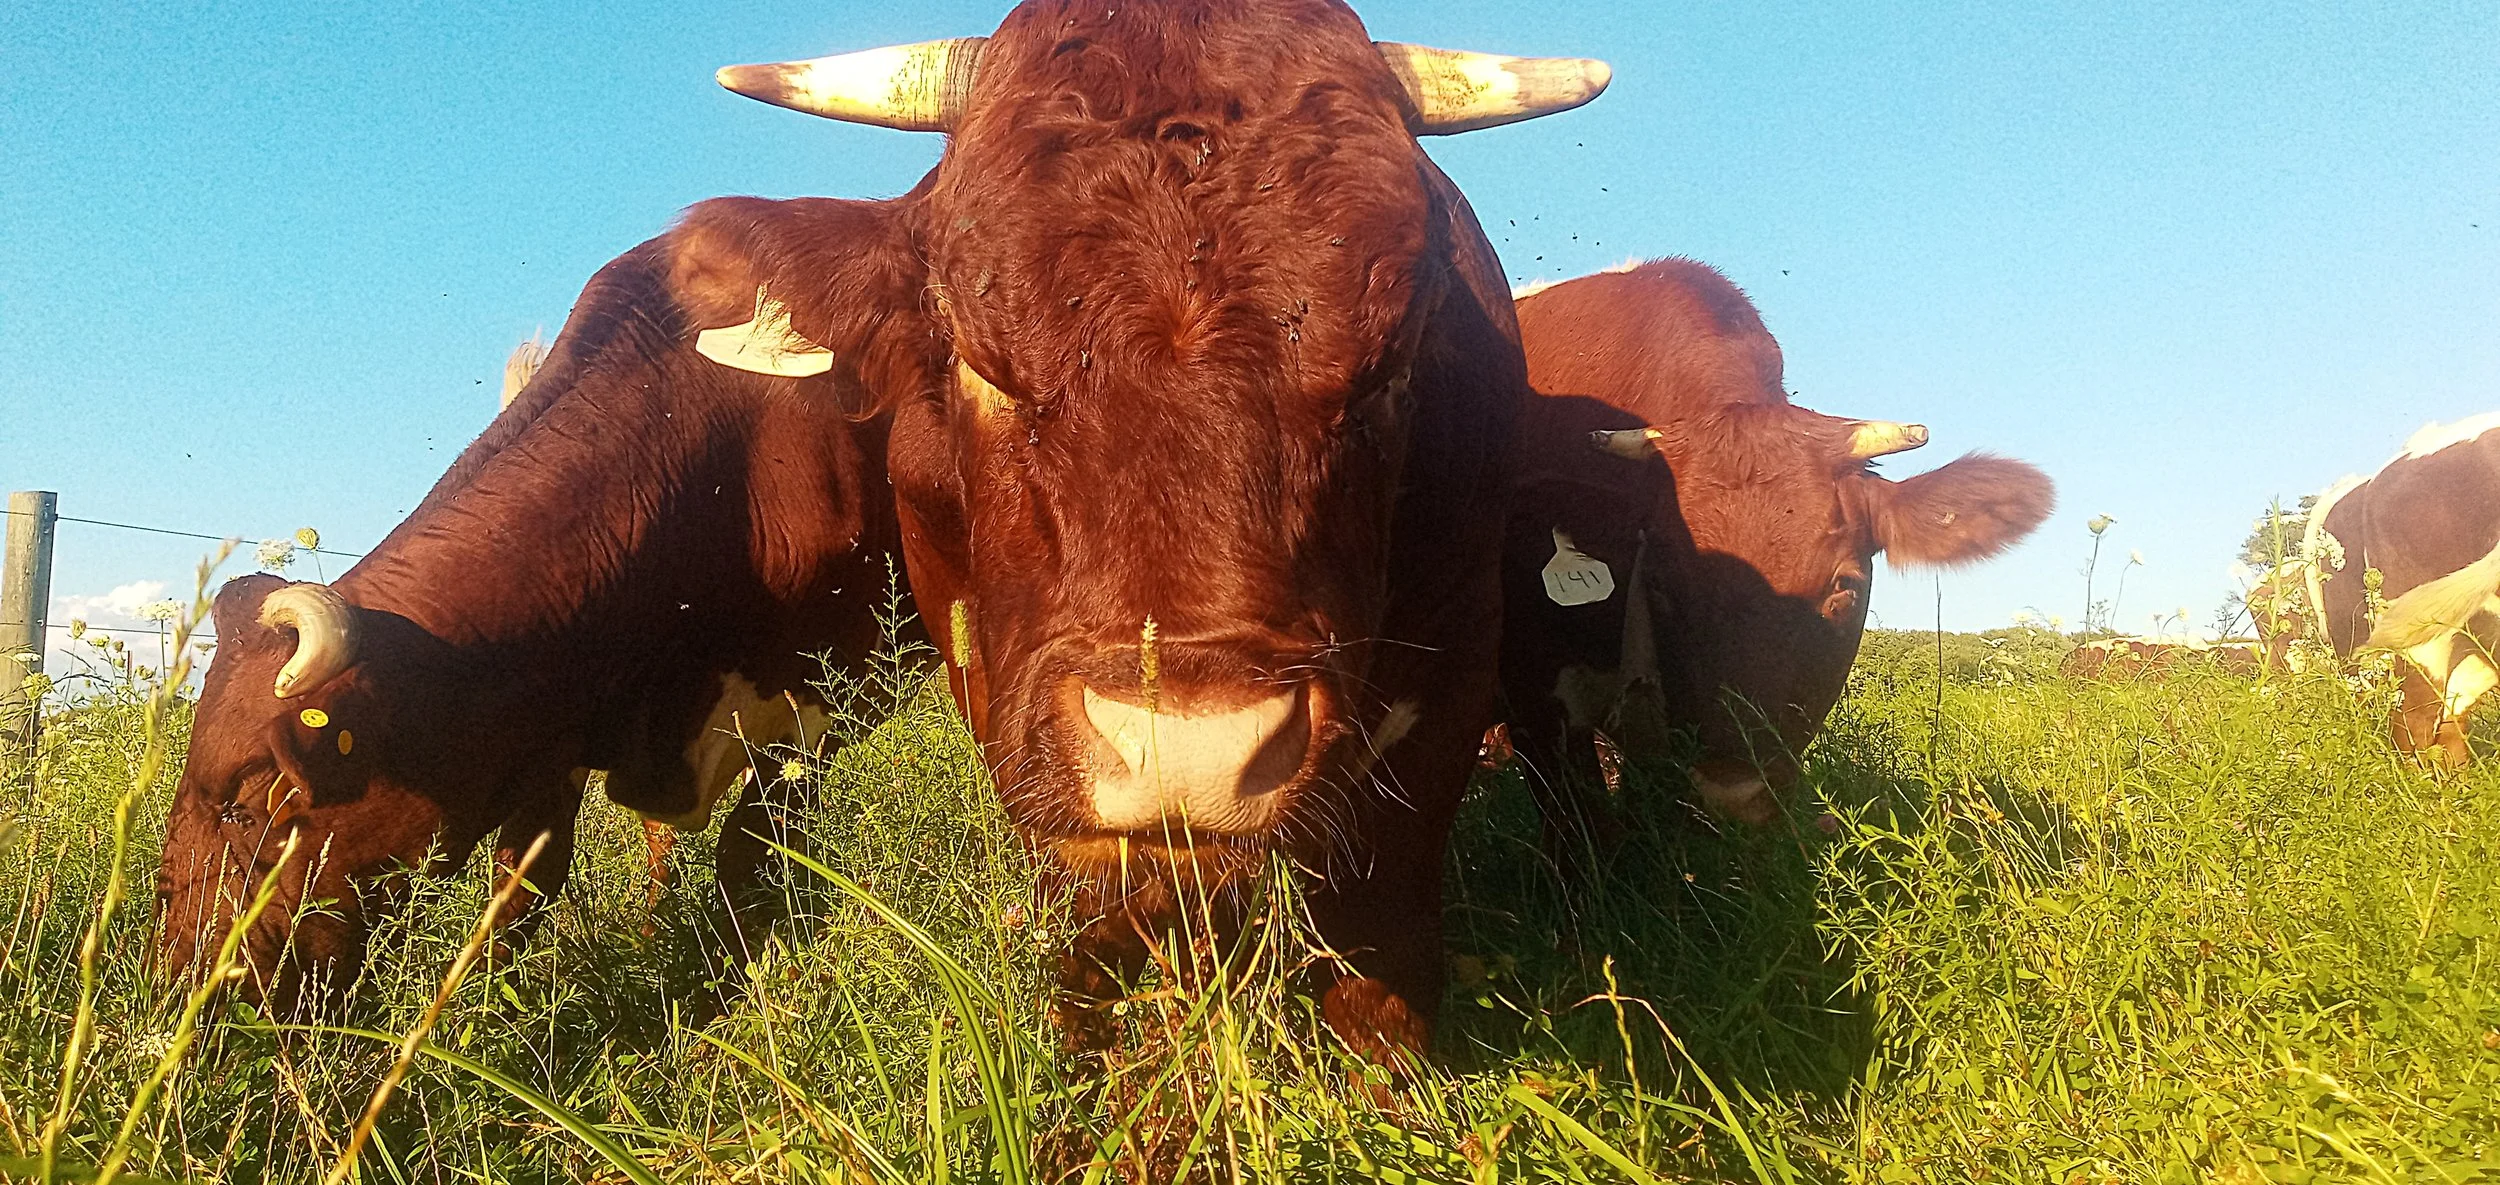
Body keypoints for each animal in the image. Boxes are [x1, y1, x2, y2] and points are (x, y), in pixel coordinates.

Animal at [156, 234, 920, 1004]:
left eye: (244, 807)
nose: (179, 977)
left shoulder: (831, 695)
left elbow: (758, 855)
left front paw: (747, 1002)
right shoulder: (564, 720)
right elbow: (525, 882)